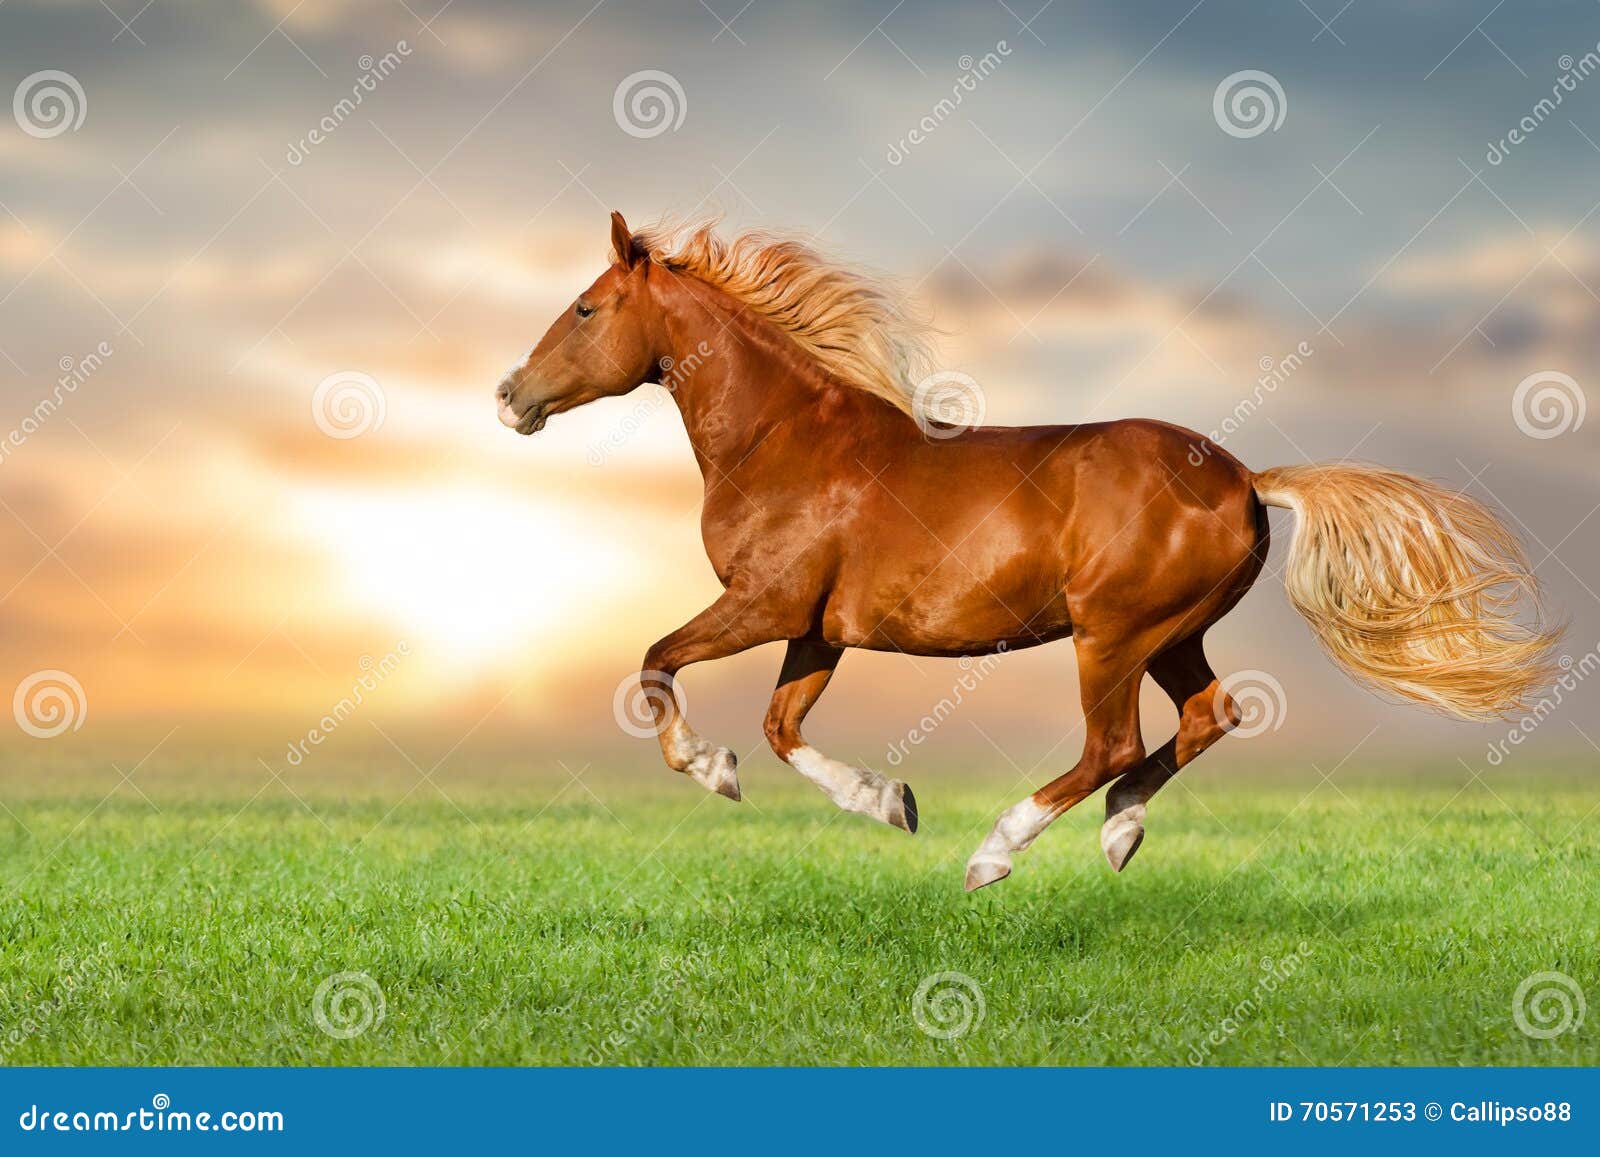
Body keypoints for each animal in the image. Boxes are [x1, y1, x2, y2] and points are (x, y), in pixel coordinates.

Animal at [495, 211, 1560, 892]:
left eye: (585, 308)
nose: (511, 396)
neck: (785, 439)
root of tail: (1245, 479)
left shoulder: (766, 604)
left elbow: (656, 665)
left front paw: (711, 769)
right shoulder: (819, 629)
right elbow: (781, 726)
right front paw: (890, 800)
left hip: (1111, 635)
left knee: (1112, 743)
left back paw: (995, 853)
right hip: (1170, 633)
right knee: (1210, 714)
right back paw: (1121, 832)